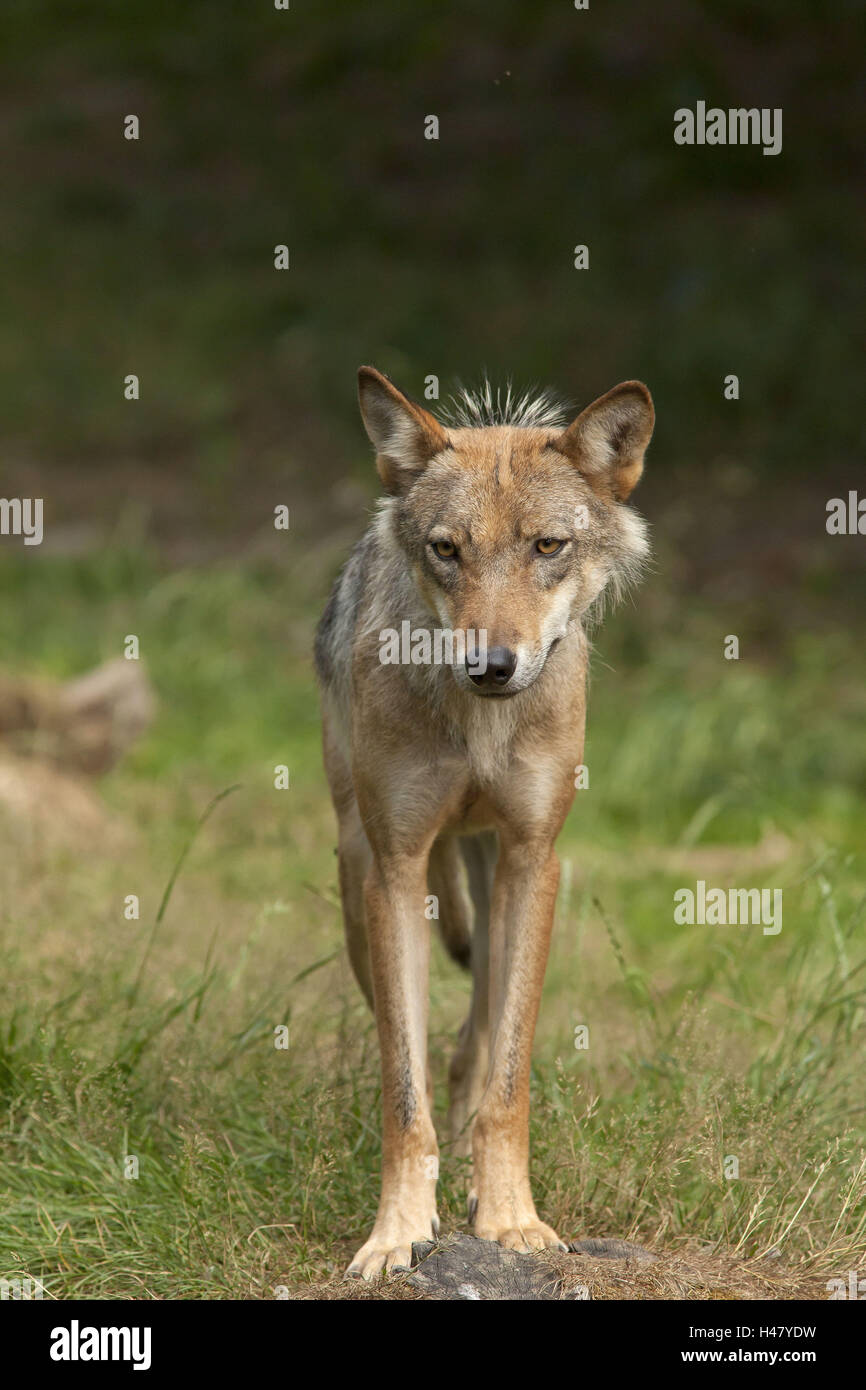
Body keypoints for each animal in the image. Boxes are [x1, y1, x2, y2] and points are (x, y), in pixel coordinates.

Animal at [314, 365, 654, 1278]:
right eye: (446, 550)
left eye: (547, 547)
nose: (490, 666)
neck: (478, 727)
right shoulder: (396, 868)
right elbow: (404, 1090)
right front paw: (397, 1231)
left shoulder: (535, 859)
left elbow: (508, 1081)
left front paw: (509, 1219)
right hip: (360, 880)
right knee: (428, 1046)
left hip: (498, 881)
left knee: (476, 1042)